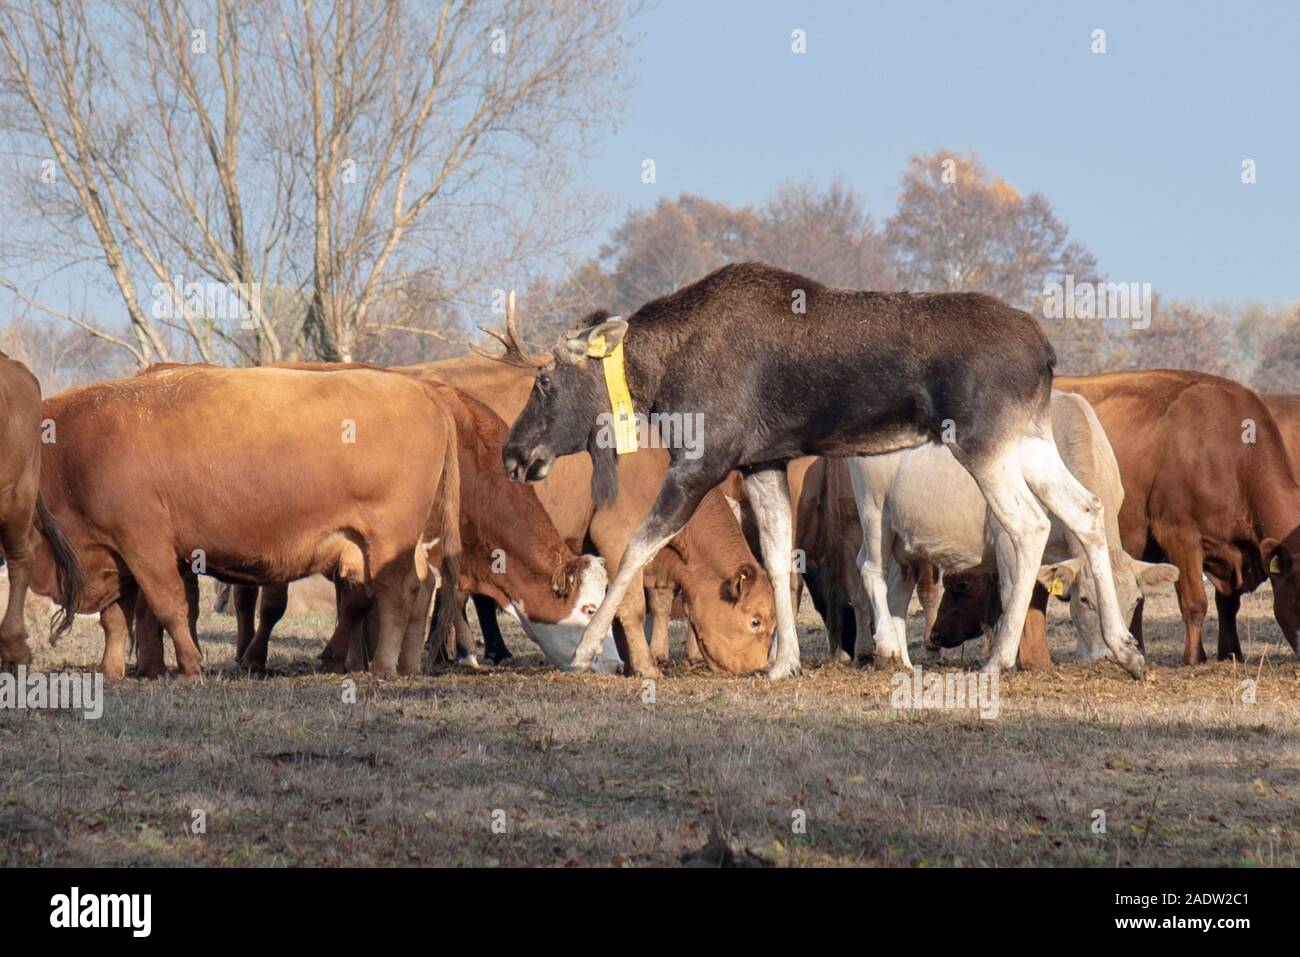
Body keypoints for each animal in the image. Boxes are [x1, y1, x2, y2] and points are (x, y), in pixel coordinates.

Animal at [32, 365, 462, 679]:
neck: (73, 451)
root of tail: (423, 392)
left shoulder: (145, 546)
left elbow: (167, 605)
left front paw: (191, 666)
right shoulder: (115, 554)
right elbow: (115, 618)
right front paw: (112, 671)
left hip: (389, 542)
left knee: (397, 592)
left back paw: (385, 666)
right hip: (372, 547)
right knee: (392, 592)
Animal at [415, 352, 776, 676]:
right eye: (755, 620)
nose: (757, 668)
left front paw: (624, 661)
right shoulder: (619, 538)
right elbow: (630, 604)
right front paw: (645, 667)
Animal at [848, 391, 1177, 670]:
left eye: (1135, 602)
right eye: (1084, 599)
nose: (1106, 657)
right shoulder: (1007, 536)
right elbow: (1014, 592)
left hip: (905, 537)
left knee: (898, 585)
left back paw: (900, 659)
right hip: (874, 511)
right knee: (870, 568)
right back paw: (888, 649)